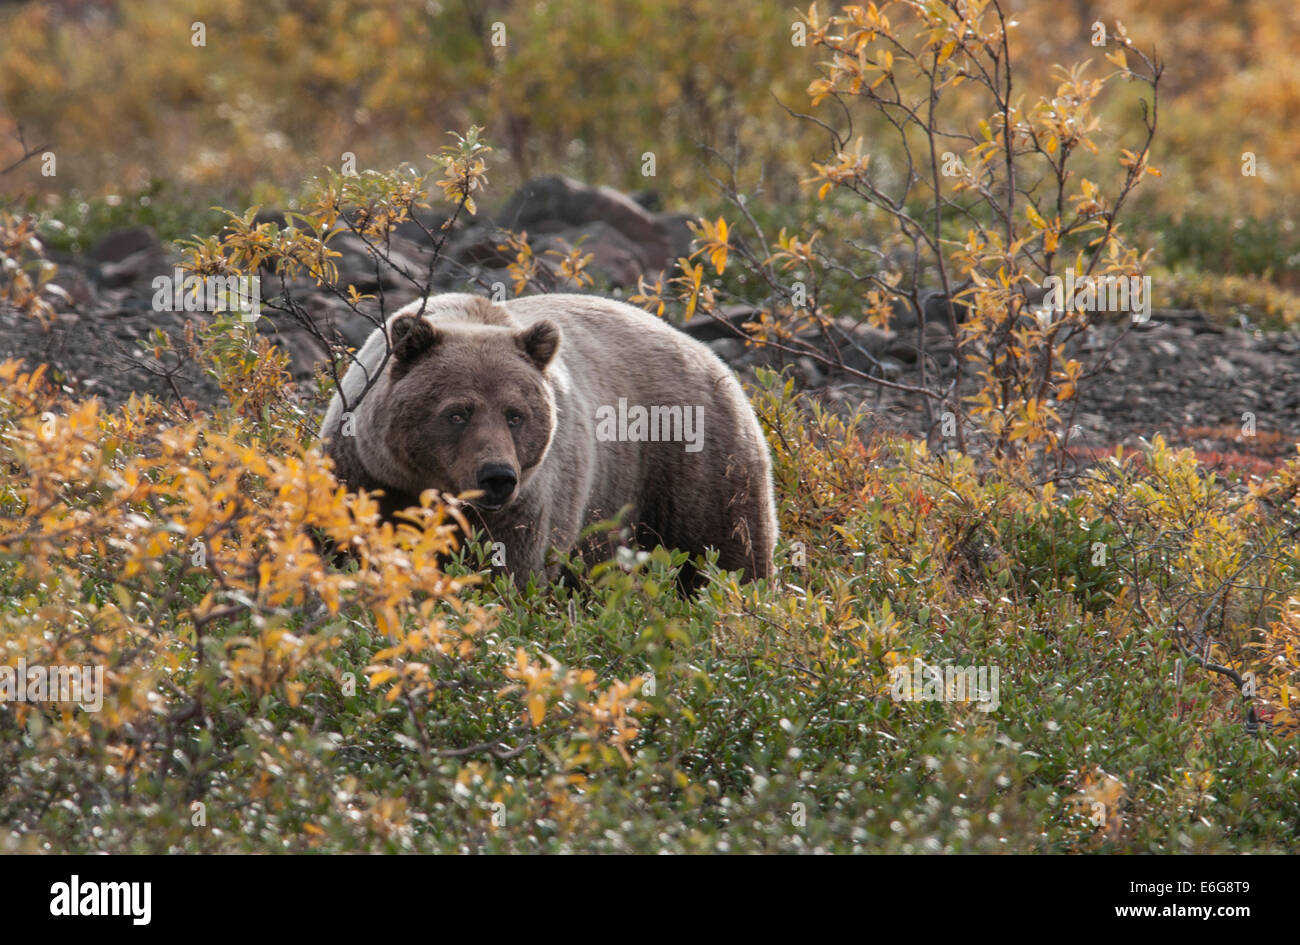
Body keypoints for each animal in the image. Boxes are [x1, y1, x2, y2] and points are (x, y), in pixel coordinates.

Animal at [321, 292, 777, 589]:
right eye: (457, 412)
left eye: (515, 414)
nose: (496, 476)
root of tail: (713, 358)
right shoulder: (361, 475)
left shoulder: (527, 501)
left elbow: (507, 571)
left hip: (691, 464)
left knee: (727, 551)